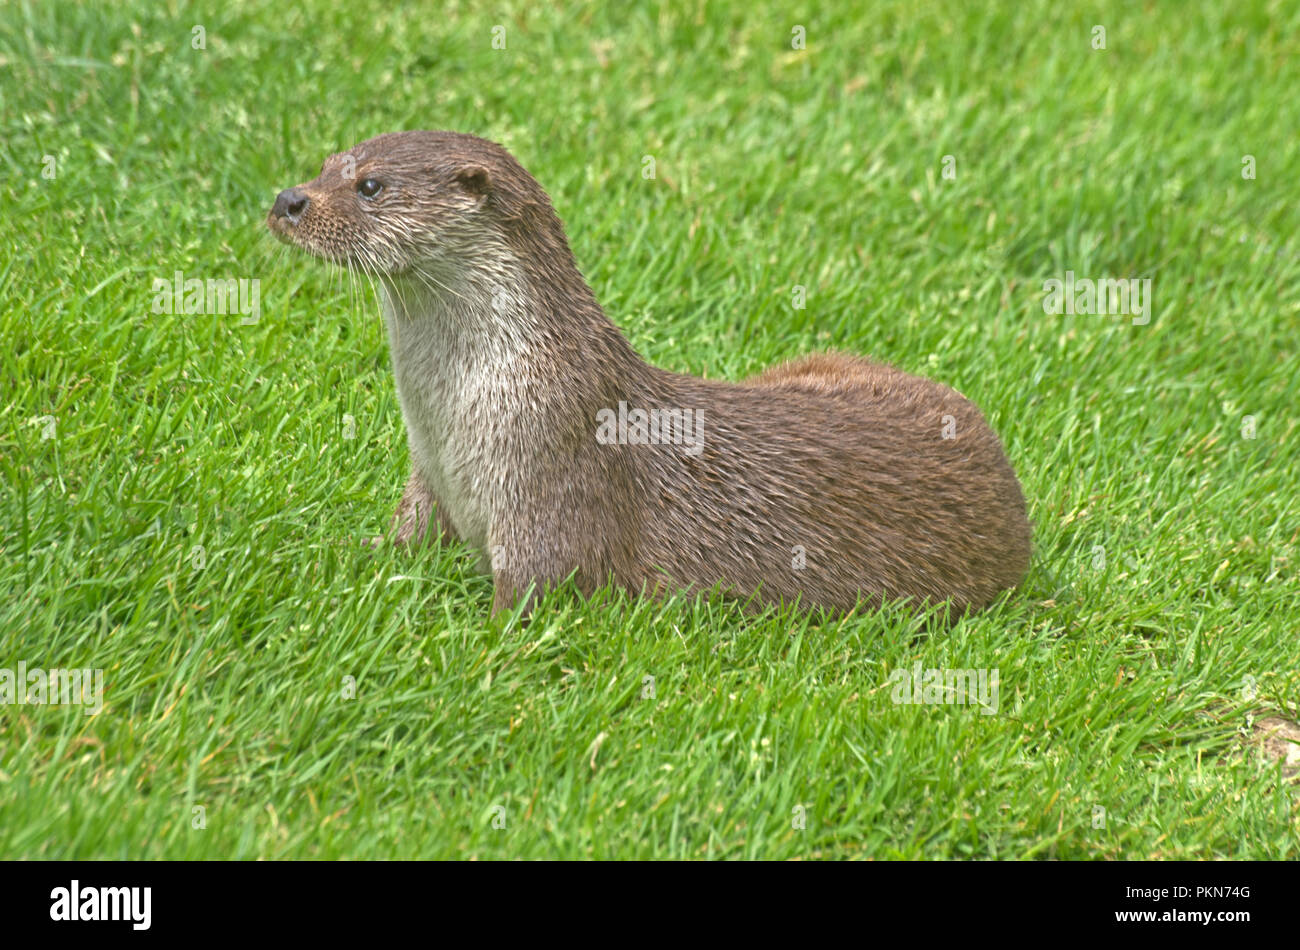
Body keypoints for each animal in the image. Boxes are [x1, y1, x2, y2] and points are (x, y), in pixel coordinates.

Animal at [267, 130, 1031, 616]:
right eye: (326, 164)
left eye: (370, 186)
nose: (288, 200)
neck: (459, 412)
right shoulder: (428, 477)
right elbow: (401, 539)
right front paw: (328, 551)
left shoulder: (553, 479)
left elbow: (534, 595)